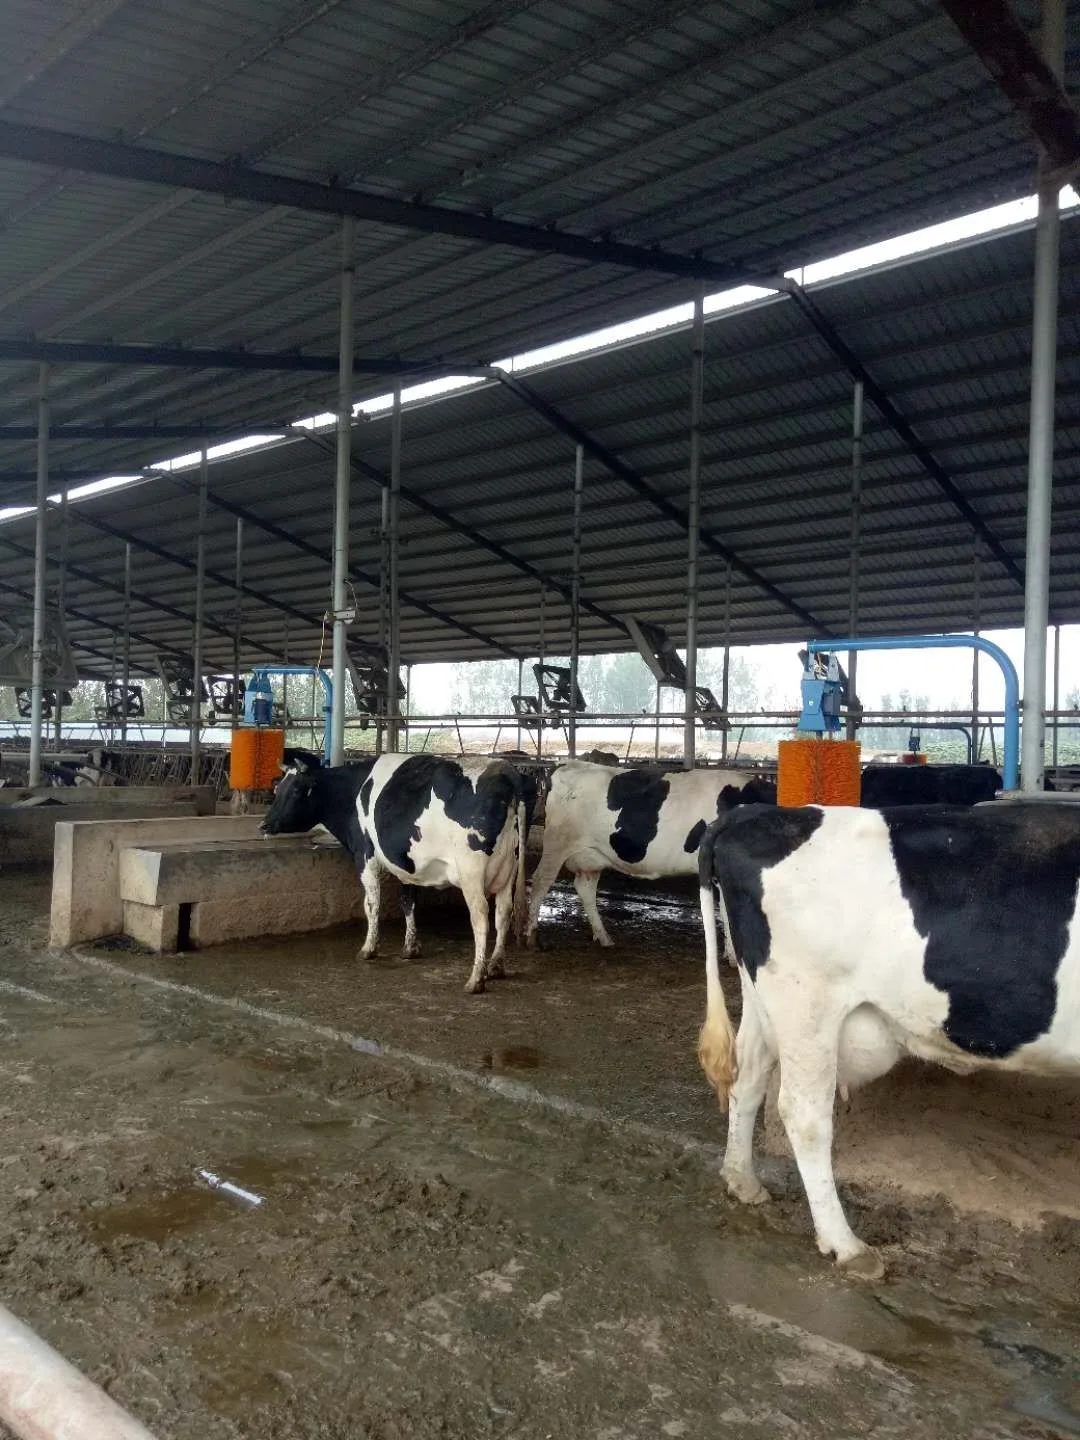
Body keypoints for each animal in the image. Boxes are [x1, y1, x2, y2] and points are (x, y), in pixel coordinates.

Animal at [262, 752, 529, 994]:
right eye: (277, 789)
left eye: (296, 791)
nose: (264, 824)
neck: (352, 792)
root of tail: (504, 770)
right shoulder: (408, 864)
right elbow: (408, 902)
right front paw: (410, 948)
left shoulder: (364, 855)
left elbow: (371, 904)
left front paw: (369, 948)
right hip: (509, 869)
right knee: (503, 913)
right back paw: (496, 966)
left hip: (470, 871)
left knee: (481, 917)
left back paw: (476, 979)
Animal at [526, 759, 776, 947]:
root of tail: (569, 764)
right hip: (557, 845)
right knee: (540, 881)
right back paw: (531, 935)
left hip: (591, 855)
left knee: (585, 888)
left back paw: (604, 937)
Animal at [696, 801, 1080, 1279]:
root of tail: (759, 812)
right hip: (806, 1003)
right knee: (804, 1113)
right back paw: (845, 1244)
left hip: (765, 1000)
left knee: (747, 1077)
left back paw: (742, 1180)